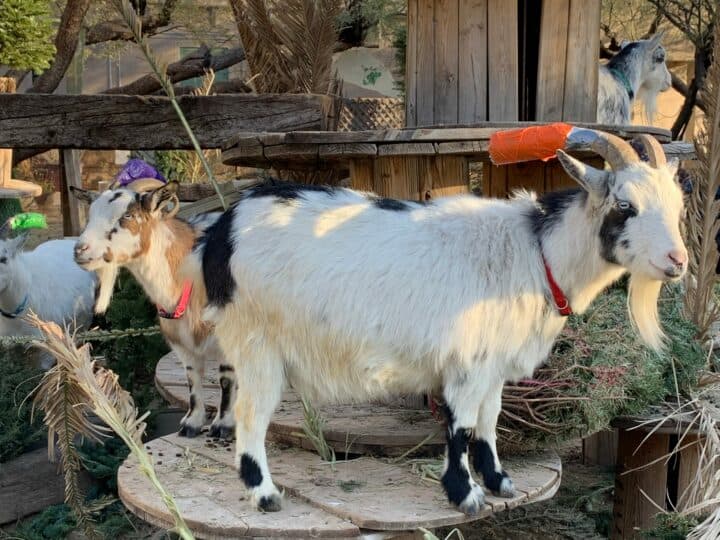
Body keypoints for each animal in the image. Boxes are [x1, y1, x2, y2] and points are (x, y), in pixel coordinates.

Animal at [71, 179, 235, 439]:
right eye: (90, 214)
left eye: (127, 215)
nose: (80, 250)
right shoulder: (181, 343)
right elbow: (193, 379)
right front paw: (191, 424)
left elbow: (226, 380)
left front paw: (223, 426)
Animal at [187, 131, 686, 514]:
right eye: (624, 205)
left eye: (677, 205)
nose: (677, 261)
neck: (535, 254)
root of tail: (223, 230)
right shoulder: (467, 363)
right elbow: (462, 426)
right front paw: (465, 494)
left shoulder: (493, 365)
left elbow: (489, 420)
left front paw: (499, 481)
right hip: (256, 341)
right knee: (251, 413)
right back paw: (264, 494)